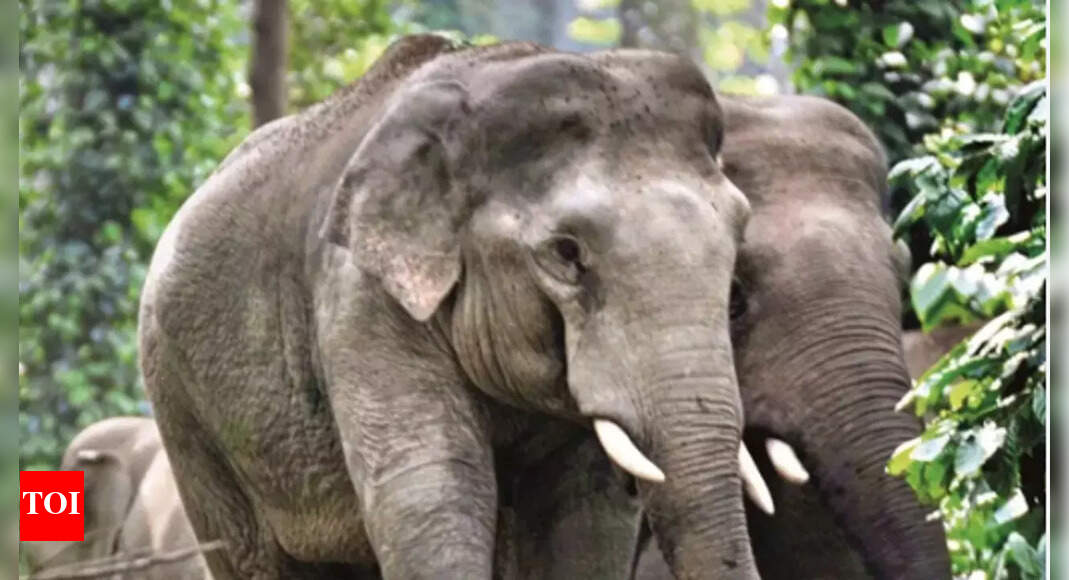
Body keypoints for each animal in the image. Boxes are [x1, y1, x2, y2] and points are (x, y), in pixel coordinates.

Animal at [138, 35, 773, 580]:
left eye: (738, 238)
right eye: (566, 254)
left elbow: (584, 510)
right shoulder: (361, 299)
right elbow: (434, 491)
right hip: (183, 409)